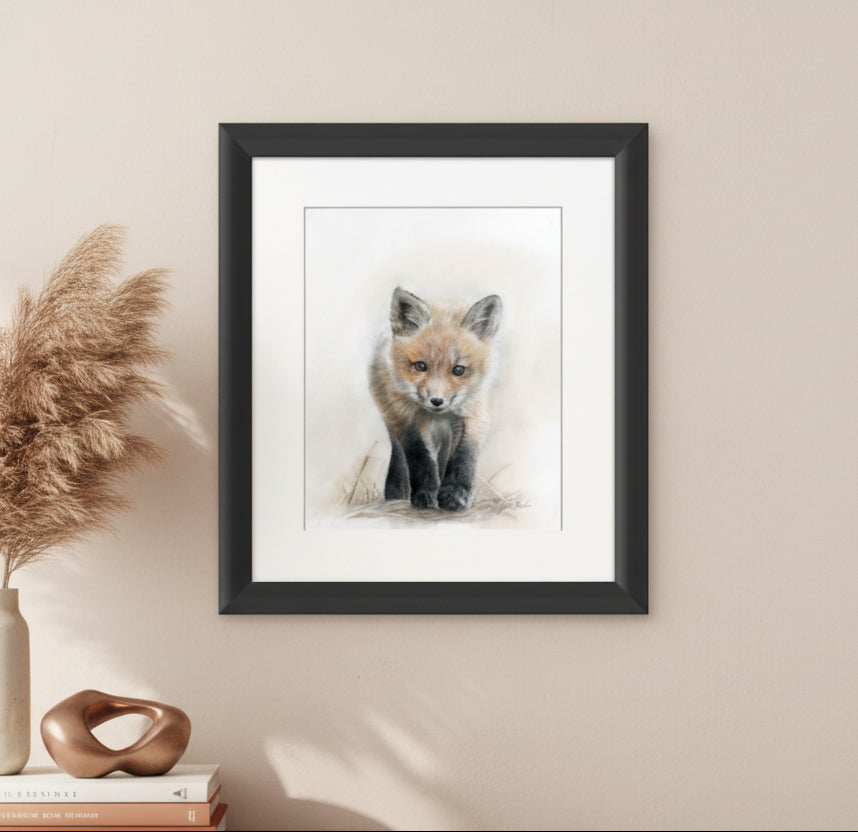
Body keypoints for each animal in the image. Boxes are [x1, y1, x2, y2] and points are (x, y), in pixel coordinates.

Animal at [369, 286, 502, 511]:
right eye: (420, 366)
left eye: (458, 370)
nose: (437, 401)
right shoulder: (407, 416)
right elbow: (420, 457)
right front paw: (425, 495)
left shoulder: (474, 413)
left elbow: (464, 456)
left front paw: (454, 495)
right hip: (391, 412)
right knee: (400, 456)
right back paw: (396, 495)